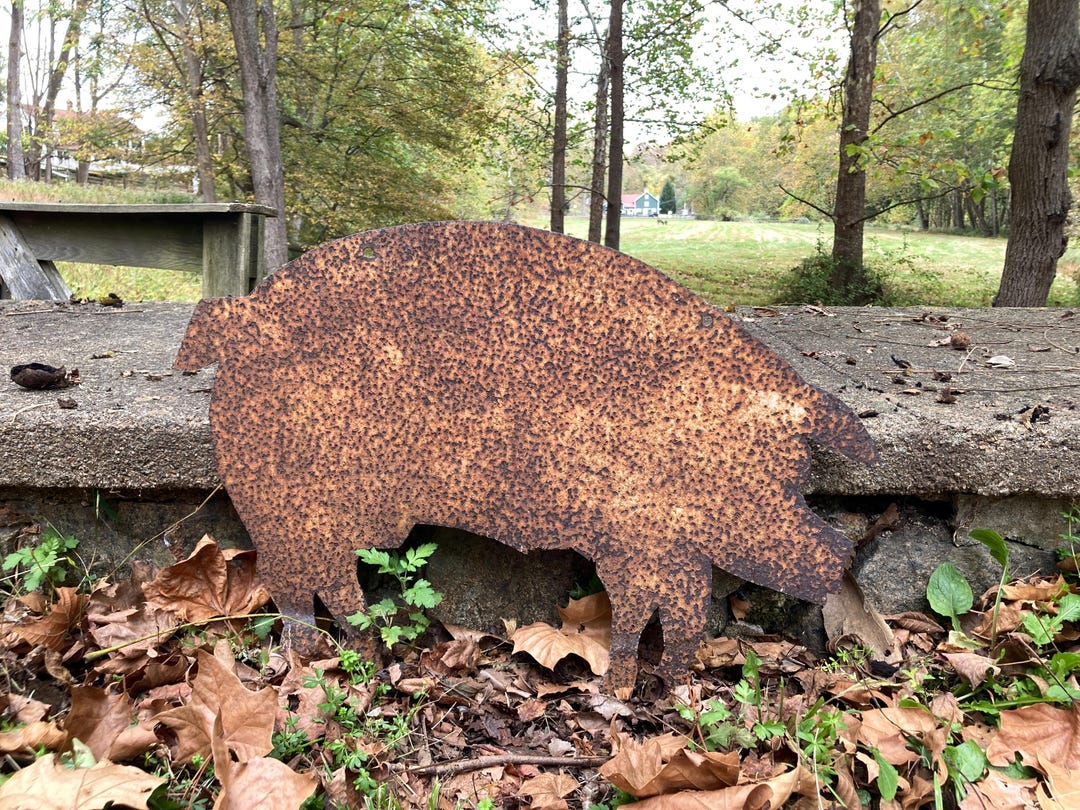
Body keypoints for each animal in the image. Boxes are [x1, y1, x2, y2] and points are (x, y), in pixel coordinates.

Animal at [174, 221, 876, 690]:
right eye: (789, 473)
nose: (842, 555)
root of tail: (238, 318)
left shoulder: (662, 550)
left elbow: (675, 617)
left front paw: (657, 685)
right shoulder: (639, 541)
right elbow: (647, 613)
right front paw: (620, 686)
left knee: (319, 582)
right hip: (290, 503)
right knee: (304, 581)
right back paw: (338, 661)